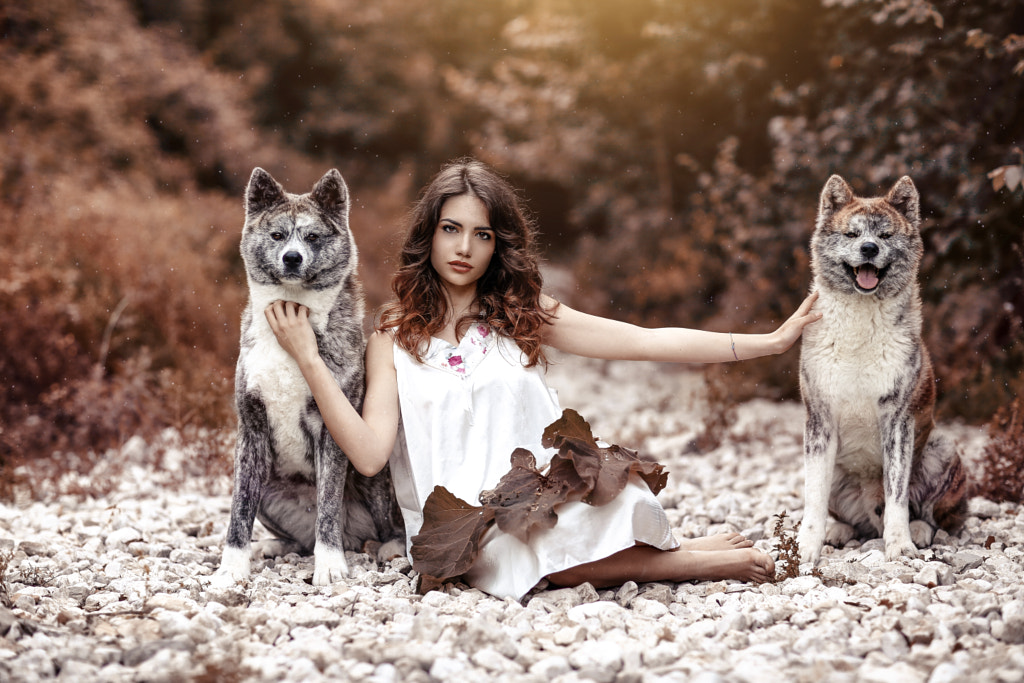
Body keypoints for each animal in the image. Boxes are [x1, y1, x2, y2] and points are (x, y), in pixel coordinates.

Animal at [216, 167, 404, 586]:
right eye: (277, 235)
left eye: (313, 237)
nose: (291, 257)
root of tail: (356, 537)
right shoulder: (251, 432)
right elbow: (239, 510)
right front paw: (232, 566)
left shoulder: (332, 432)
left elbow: (328, 506)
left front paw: (330, 565)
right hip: (267, 487)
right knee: (295, 537)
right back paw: (274, 546)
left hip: (375, 476)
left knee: (388, 527)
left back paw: (389, 548)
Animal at [797, 174, 967, 564]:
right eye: (851, 234)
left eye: (886, 235)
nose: (869, 249)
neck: (860, 328)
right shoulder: (819, 422)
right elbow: (814, 498)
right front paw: (806, 548)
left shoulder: (898, 421)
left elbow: (897, 495)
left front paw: (899, 545)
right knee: (849, 518)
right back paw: (839, 531)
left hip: (941, 448)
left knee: (937, 515)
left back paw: (919, 531)